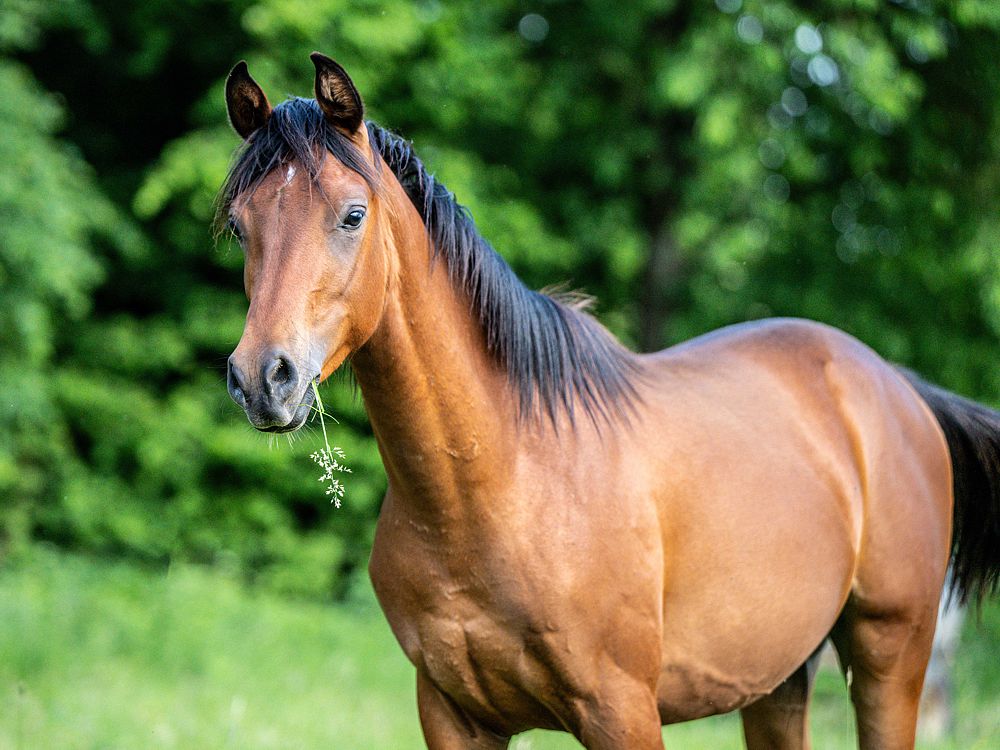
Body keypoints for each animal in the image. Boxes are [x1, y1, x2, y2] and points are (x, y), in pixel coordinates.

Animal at [218, 54, 1000, 749]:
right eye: (240, 226)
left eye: (352, 215)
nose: (263, 377)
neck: (498, 480)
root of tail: (897, 386)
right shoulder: (452, 715)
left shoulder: (620, 711)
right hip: (777, 681)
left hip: (890, 659)